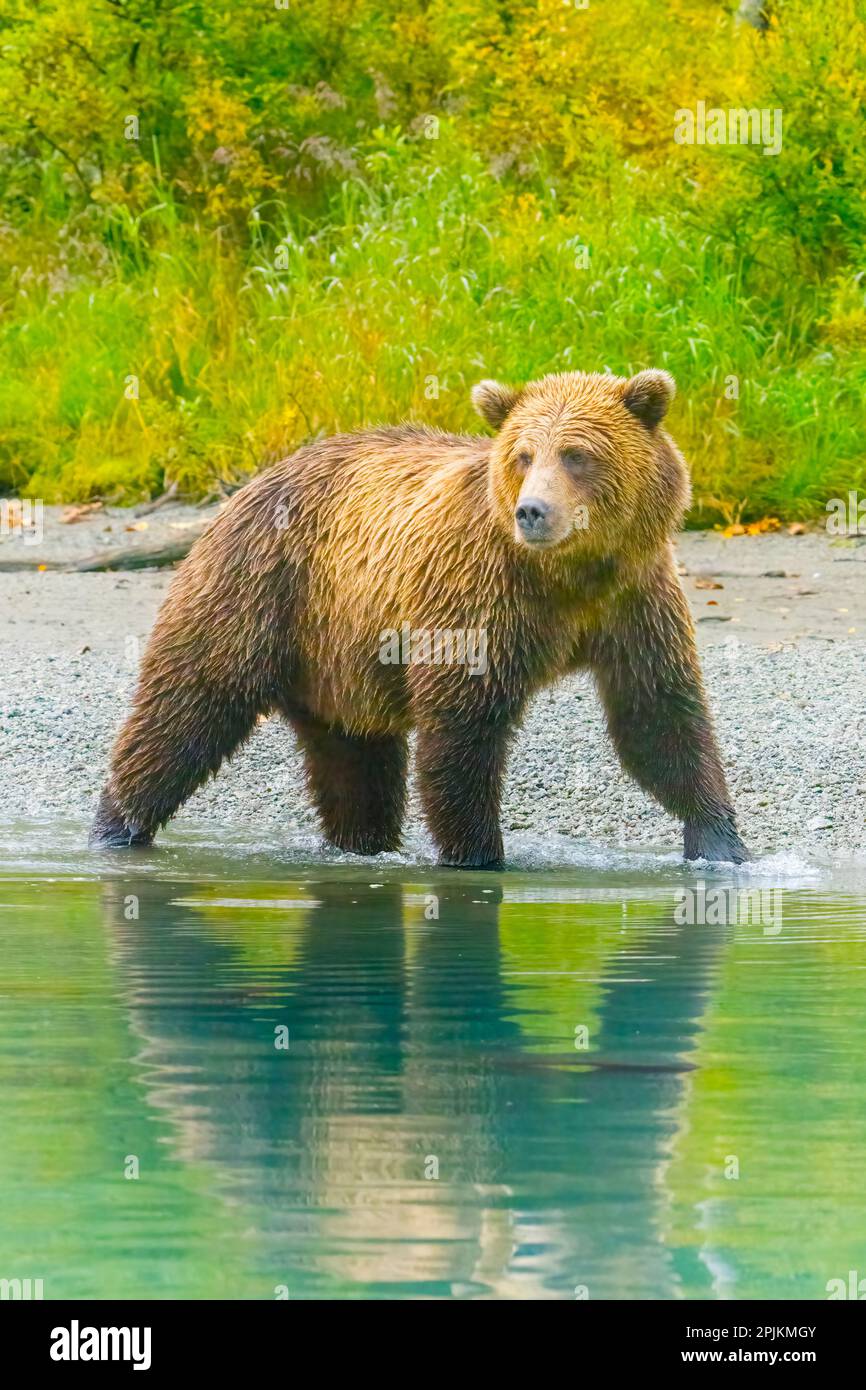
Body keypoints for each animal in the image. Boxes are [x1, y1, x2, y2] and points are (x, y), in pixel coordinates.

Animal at [91, 368, 749, 868]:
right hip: (259, 589)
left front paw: (721, 844)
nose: (532, 511)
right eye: (523, 454)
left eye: (577, 454)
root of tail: (249, 487)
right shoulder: (479, 597)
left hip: (338, 652)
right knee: (186, 708)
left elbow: (658, 715)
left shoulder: (634, 599)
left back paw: (361, 844)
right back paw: (117, 827)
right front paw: (478, 854)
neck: (567, 575)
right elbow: (464, 731)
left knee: (355, 760)